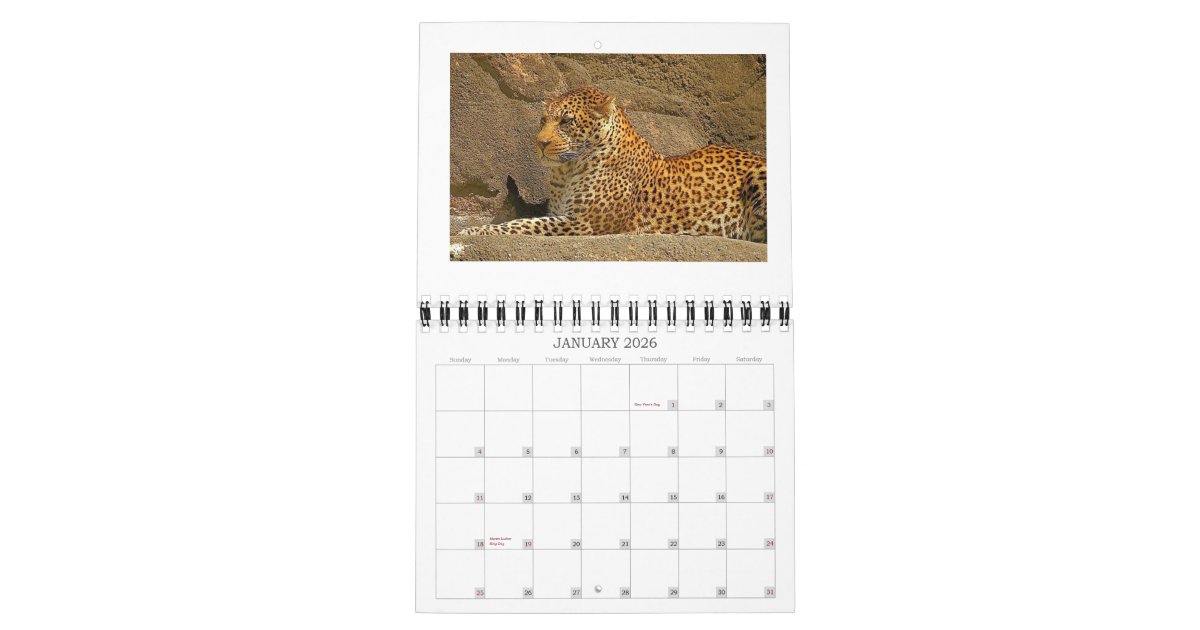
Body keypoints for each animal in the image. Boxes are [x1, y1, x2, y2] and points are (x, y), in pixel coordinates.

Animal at [458, 87, 767, 243]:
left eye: (566, 121)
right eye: (543, 121)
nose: (540, 142)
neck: (566, 171)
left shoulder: (584, 223)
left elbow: (523, 225)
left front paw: (474, 231)